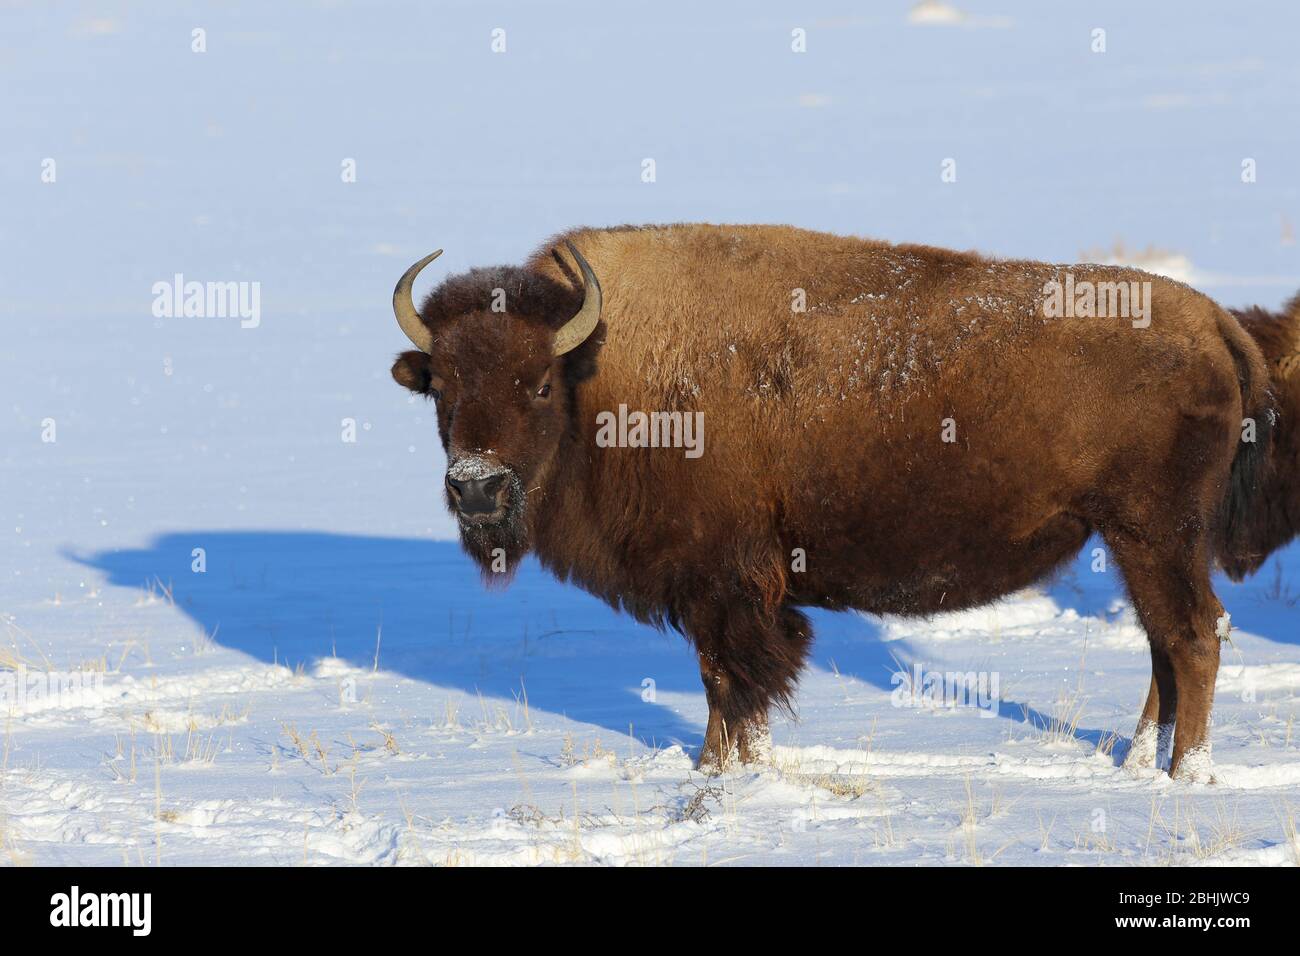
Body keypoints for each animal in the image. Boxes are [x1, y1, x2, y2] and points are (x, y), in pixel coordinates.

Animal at [388, 224, 1298, 779]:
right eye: (442, 388)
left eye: (538, 384)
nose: (477, 487)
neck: (604, 370)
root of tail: (1214, 324)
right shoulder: (725, 593)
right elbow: (728, 687)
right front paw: (718, 770)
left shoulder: (726, 588)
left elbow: (730, 681)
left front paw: (720, 776)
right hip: (1135, 542)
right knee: (1164, 647)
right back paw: (1142, 762)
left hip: (1155, 534)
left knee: (1193, 638)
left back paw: (1181, 777)